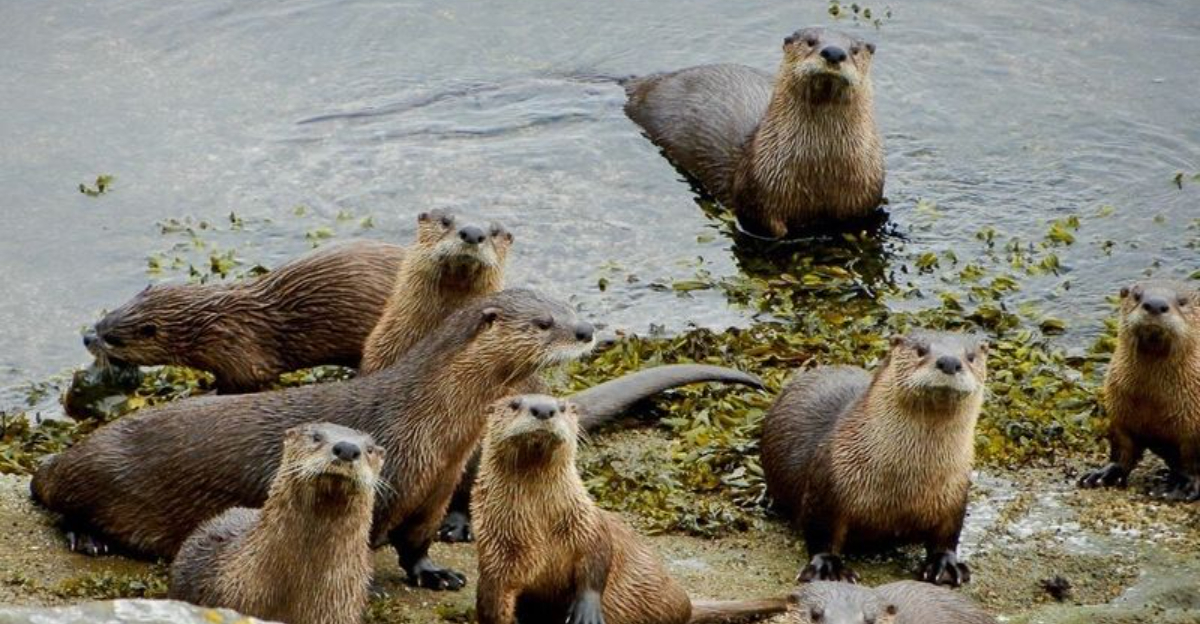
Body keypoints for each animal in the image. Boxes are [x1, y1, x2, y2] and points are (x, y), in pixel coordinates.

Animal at [32, 288, 595, 591]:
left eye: (570, 308)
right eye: (544, 322)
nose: (587, 330)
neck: (431, 426)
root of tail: (67, 456)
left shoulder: (433, 492)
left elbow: (416, 544)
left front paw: (436, 575)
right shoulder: (388, 484)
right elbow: (363, 544)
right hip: (94, 474)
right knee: (59, 505)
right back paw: (89, 538)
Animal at [473, 394, 788, 624]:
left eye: (561, 406)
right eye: (514, 404)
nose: (544, 409)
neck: (541, 527)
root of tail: (686, 603)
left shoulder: (588, 525)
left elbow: (598, 562)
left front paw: (588, 613)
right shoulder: (497, 554)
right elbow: (493, 602)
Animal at [623, 27, 883, 239]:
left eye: (855, 50)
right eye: (810, 41)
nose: (833, 52)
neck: (821, 169)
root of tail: (642, 83)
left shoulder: (866, 200)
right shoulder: (758, 199)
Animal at [762, 331, 988, 586]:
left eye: (971, 357)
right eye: (920, 350)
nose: (949, 362)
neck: (904, 484)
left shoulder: (955, 492)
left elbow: (948, 534)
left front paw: (945, 564)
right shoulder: (827, 481)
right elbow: (820, 530)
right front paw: (828, 567)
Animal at [1080, 280, 1200, 502]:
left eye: (1182, 301)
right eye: (1137, 296)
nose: (1155, 305)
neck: (1153, 401)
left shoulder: (1193, 429)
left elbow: (1193, 464)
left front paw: (1184, 487)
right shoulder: (1120, 414)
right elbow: (1122, 451)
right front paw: (1103, 474)